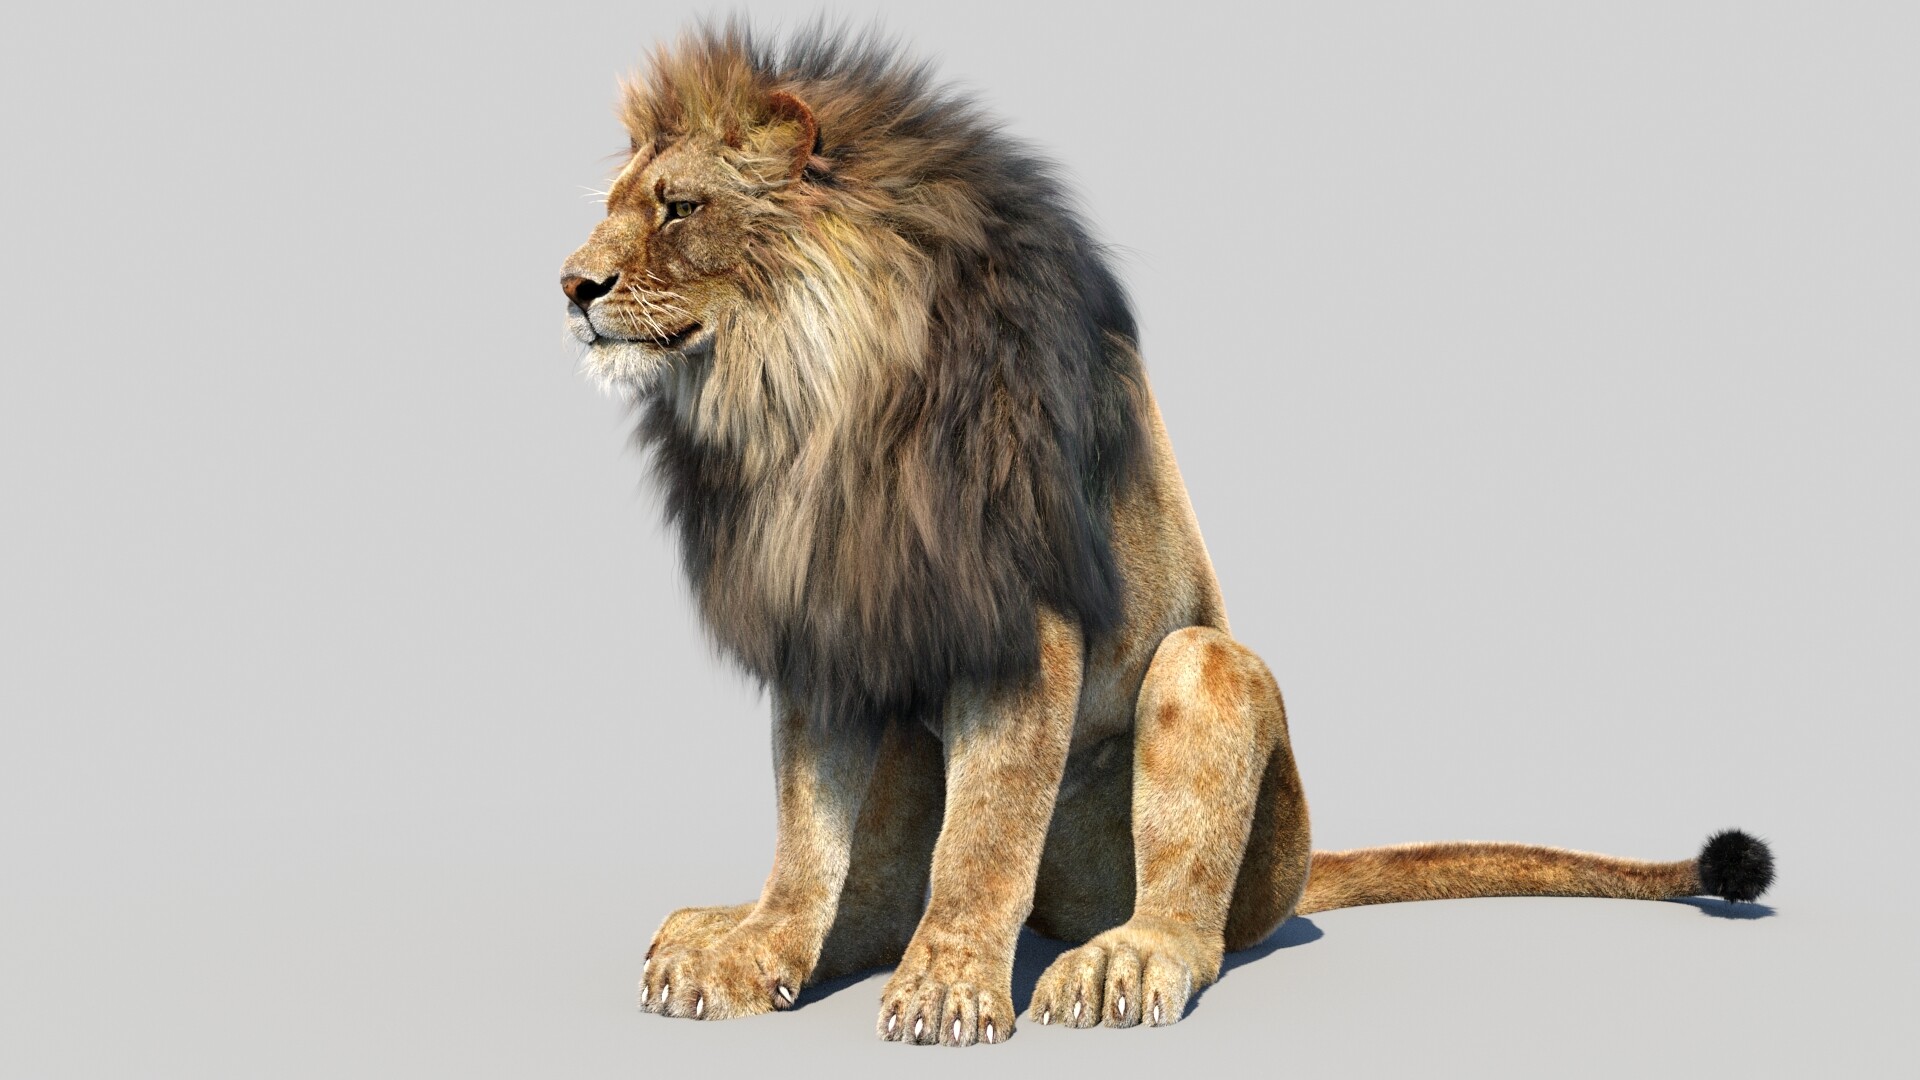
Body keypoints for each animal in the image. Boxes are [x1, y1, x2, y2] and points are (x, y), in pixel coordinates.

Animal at [558, 24, 1774, 1046]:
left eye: (678, 207)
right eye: (616, 201)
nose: (571, 285)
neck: (814, 406)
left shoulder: (1026, 622)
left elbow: (984, 837)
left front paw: (949, 987)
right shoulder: (829, 624)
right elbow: (809, 829)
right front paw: (757, 948)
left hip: (1206, 680)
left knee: (1191, 913)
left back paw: (1122, 961)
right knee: (882, 882)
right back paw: (725, 931)